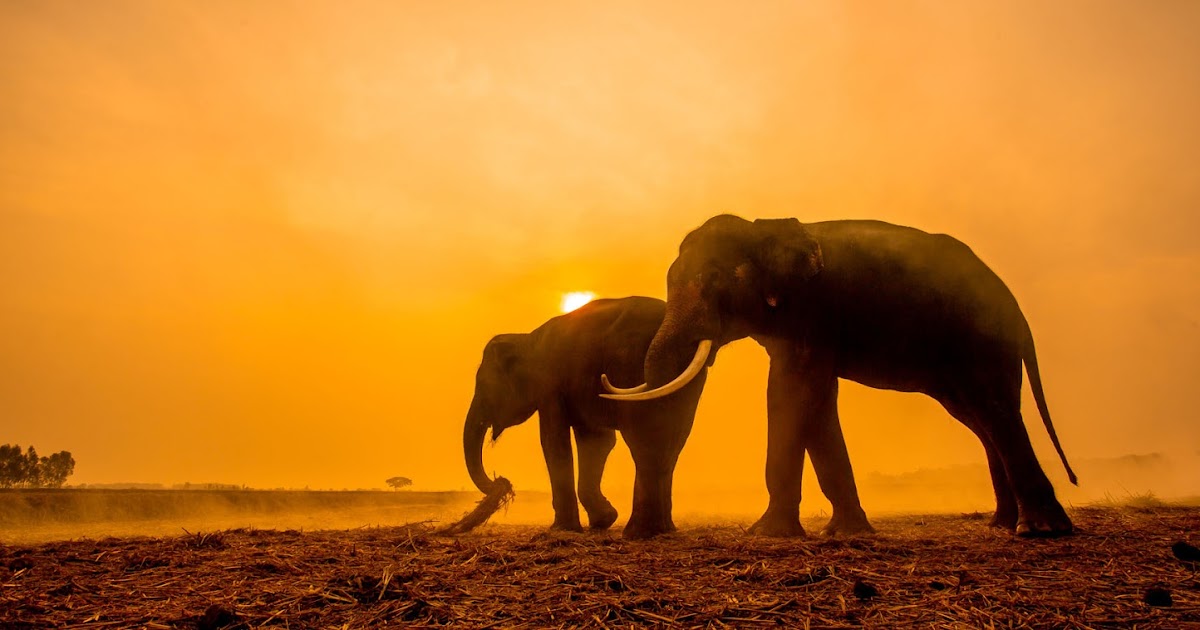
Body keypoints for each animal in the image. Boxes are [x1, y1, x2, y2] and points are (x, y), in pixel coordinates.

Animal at [463, 296, 708, 539]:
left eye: (484, 386)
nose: (501, 482)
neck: (526, 339)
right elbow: (596, 442)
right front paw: (603, 520)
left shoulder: (549, 383)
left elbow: (553, 441)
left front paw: (563, 529)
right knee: (672, 441)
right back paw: (663, 529)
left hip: (636, 370)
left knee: (643, 439)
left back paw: (639, 531)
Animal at [602, 214, 1078, 538]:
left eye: (717, 279)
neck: (763, 227)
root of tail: (1013, 303)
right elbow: (809, 400)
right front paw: (841, 533)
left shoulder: (814, 310)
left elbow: (793, 394)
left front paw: (770, 535)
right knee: (979, 419)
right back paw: (1002, 524)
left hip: (981, 335)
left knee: (994, 411)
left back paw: (1040, 531)